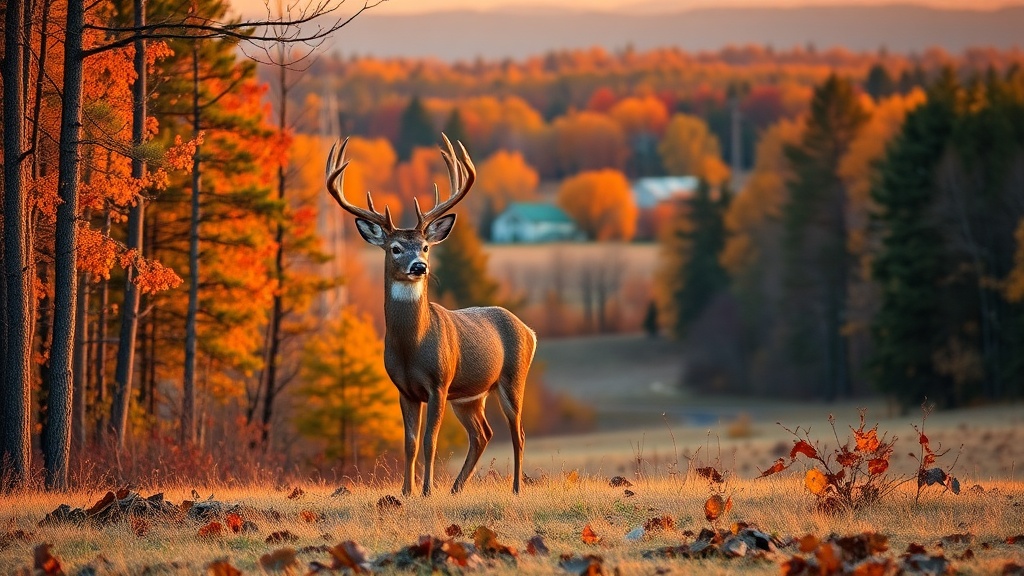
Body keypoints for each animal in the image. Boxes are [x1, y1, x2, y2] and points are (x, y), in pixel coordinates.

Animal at [325, 134, 536, 496]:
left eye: (425, 246)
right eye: (395, 248)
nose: (419, 267)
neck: (411, 348)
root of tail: (530, 331)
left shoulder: (438, 382)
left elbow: (429, 441)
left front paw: (425, 491)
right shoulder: (404, 389)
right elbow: (409, 443)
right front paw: (405, 491)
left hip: (512, 377)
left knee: (518, 433)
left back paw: (515, 489)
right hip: (468, 397)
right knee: (482, 434)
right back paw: (456, 488)